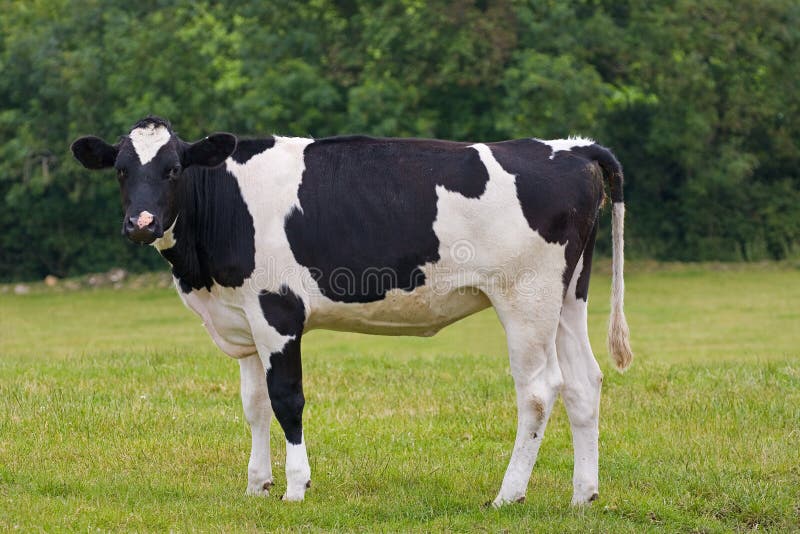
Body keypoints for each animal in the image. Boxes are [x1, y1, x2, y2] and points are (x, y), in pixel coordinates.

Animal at [71, 116, 632, 506]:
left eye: (173, 169)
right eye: (121, 171)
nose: (141, 223)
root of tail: (573, 147)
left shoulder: (278, 312)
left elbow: (287, 399)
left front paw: (296, 487)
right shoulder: (243, 318)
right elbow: (253, 404)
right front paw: (256, 485)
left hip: (526, 297)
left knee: (538, 392)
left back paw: (508, 495)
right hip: (569, 295)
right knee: (584, 383)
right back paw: (583, 495)